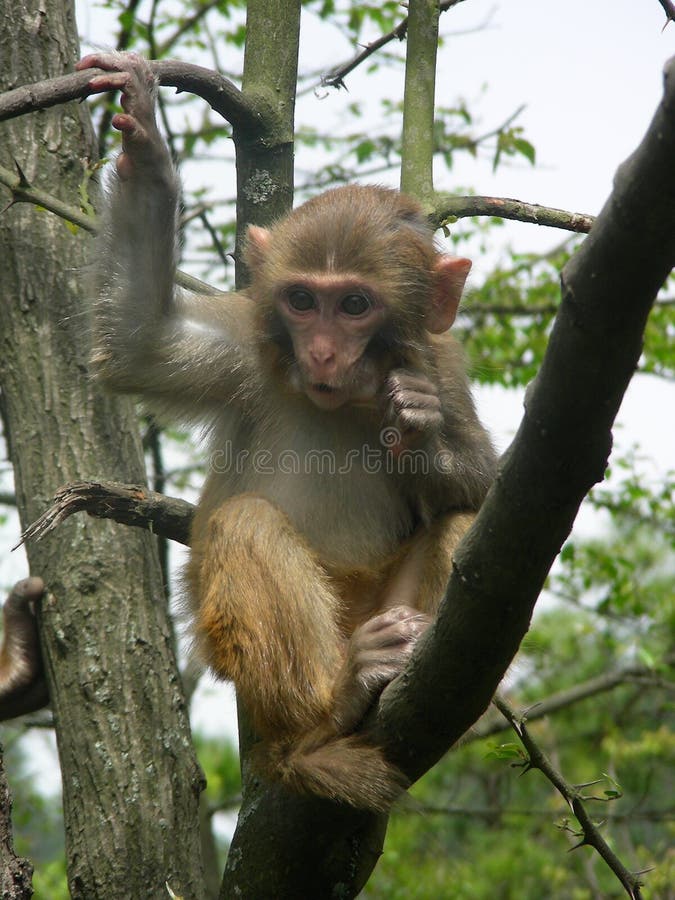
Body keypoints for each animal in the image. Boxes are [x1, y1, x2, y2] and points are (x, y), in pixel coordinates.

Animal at [0, 51, 497, 810]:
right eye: (302, 300)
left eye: (355, 305)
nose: (321, 353)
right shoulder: (247, 349)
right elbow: (140, 344)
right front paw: (147, 145)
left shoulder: (441, 364)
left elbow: (489, 488)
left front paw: (420, 423)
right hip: (247, 662)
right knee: (247, 523)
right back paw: (330, 709)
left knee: (460, 523)